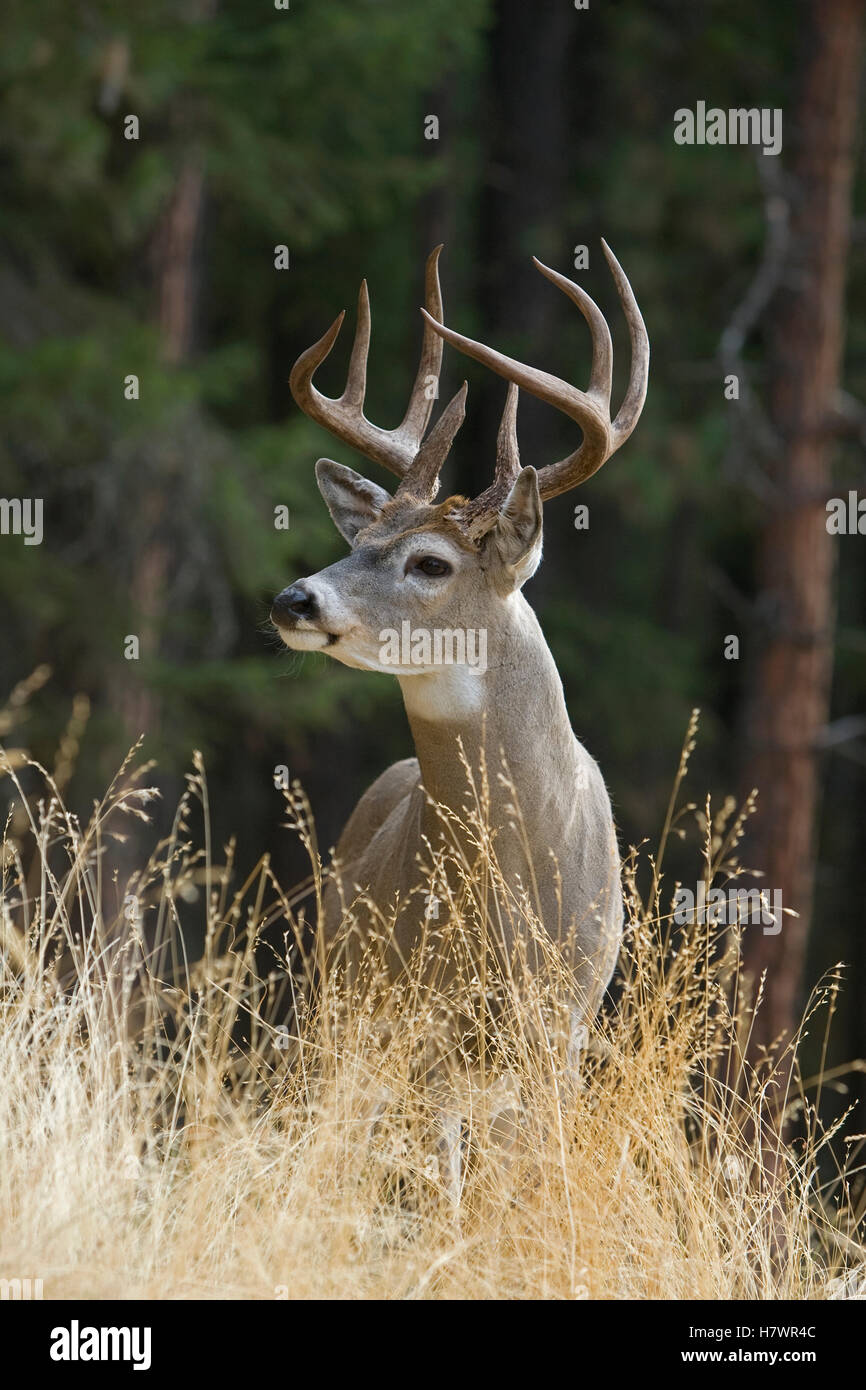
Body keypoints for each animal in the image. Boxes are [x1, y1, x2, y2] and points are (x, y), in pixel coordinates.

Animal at [271, 243, 648, 1197]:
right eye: (360, 542)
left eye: (430, 562)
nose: (295, 598)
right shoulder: (422, 1029)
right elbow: (444, 1198)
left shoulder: (559, 1033)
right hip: (342, 1007)